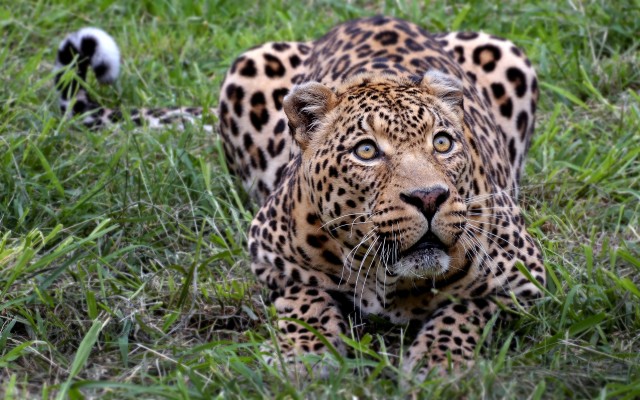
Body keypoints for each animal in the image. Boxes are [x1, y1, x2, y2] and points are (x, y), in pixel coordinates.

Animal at [54, 16, 546, 378]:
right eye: (366, 151)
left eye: (442, 143)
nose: (429, 197)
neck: (389, 280)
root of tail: (372, 14)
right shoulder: (268, 252)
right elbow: (304, 297)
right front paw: (305, 356)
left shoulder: (526, 278)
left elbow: (465, 308)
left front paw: (437, 362)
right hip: (249, 65)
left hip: (506, 52)